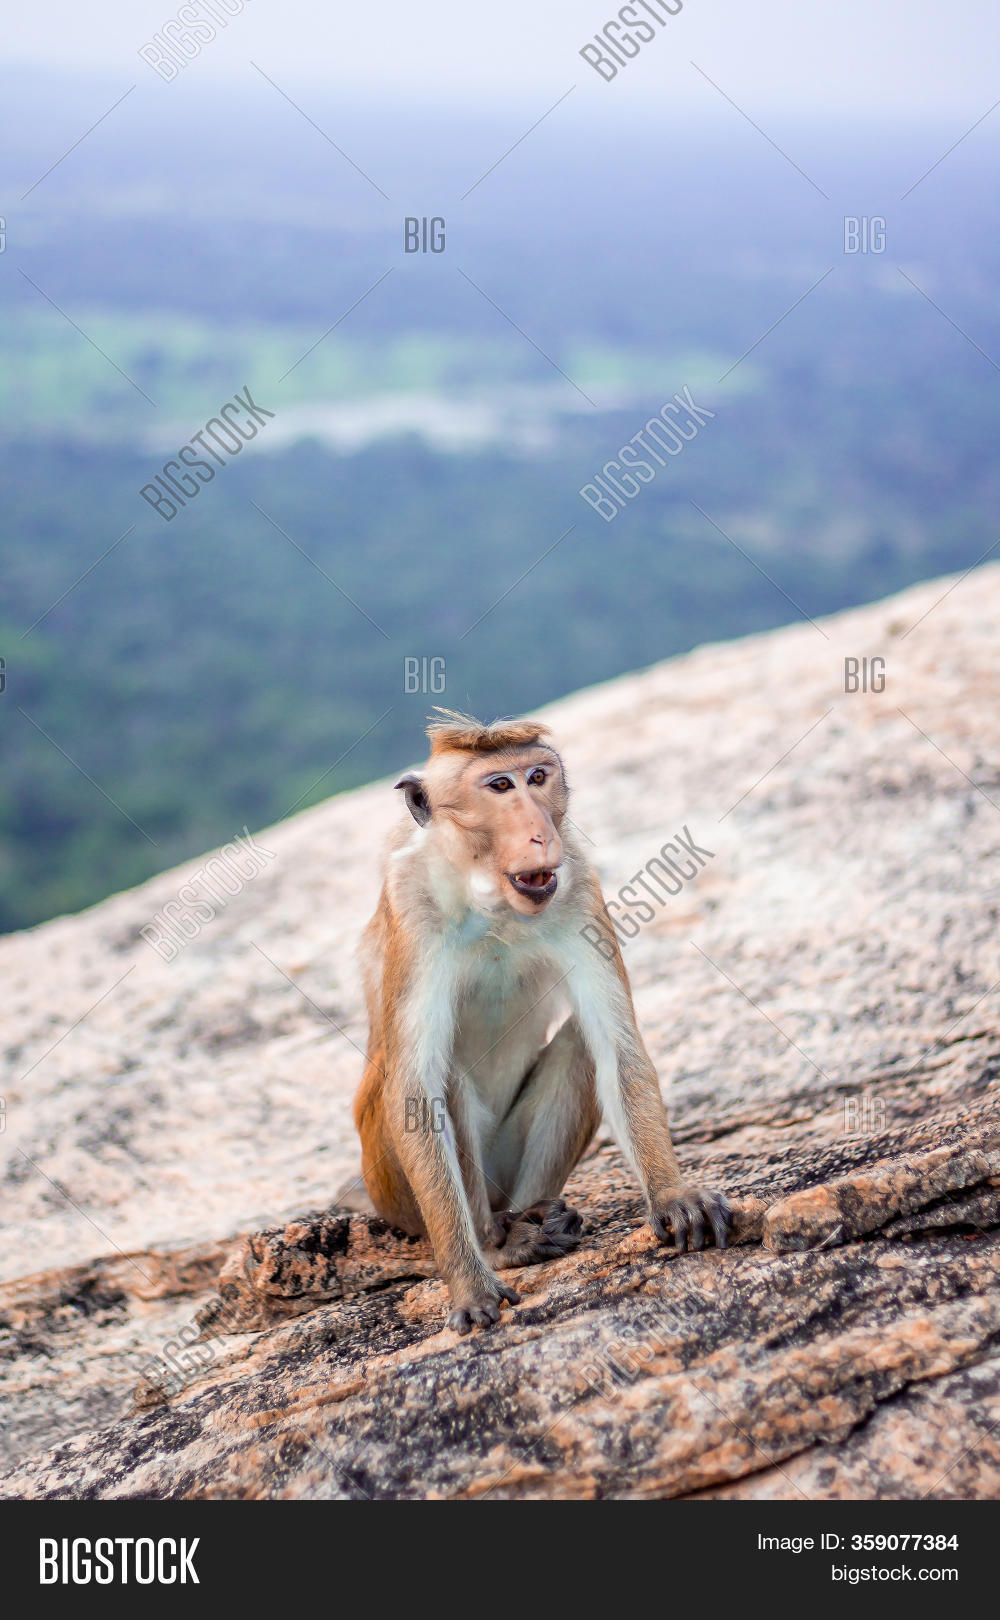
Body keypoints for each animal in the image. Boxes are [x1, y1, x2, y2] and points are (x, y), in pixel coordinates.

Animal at [346, 709, 730, 1334]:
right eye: (500, 786)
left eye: (538, 777)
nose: (541, 833)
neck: (491, 903)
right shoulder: (412, 906)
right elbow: (415, 1087)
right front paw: (468, 1279)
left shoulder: (578, 887)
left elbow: (615, 1046)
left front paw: (673, 1195)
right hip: (392, 1187)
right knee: (446, 1081)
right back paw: (498, 1246)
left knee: (578, 1046)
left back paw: (537, 1218)